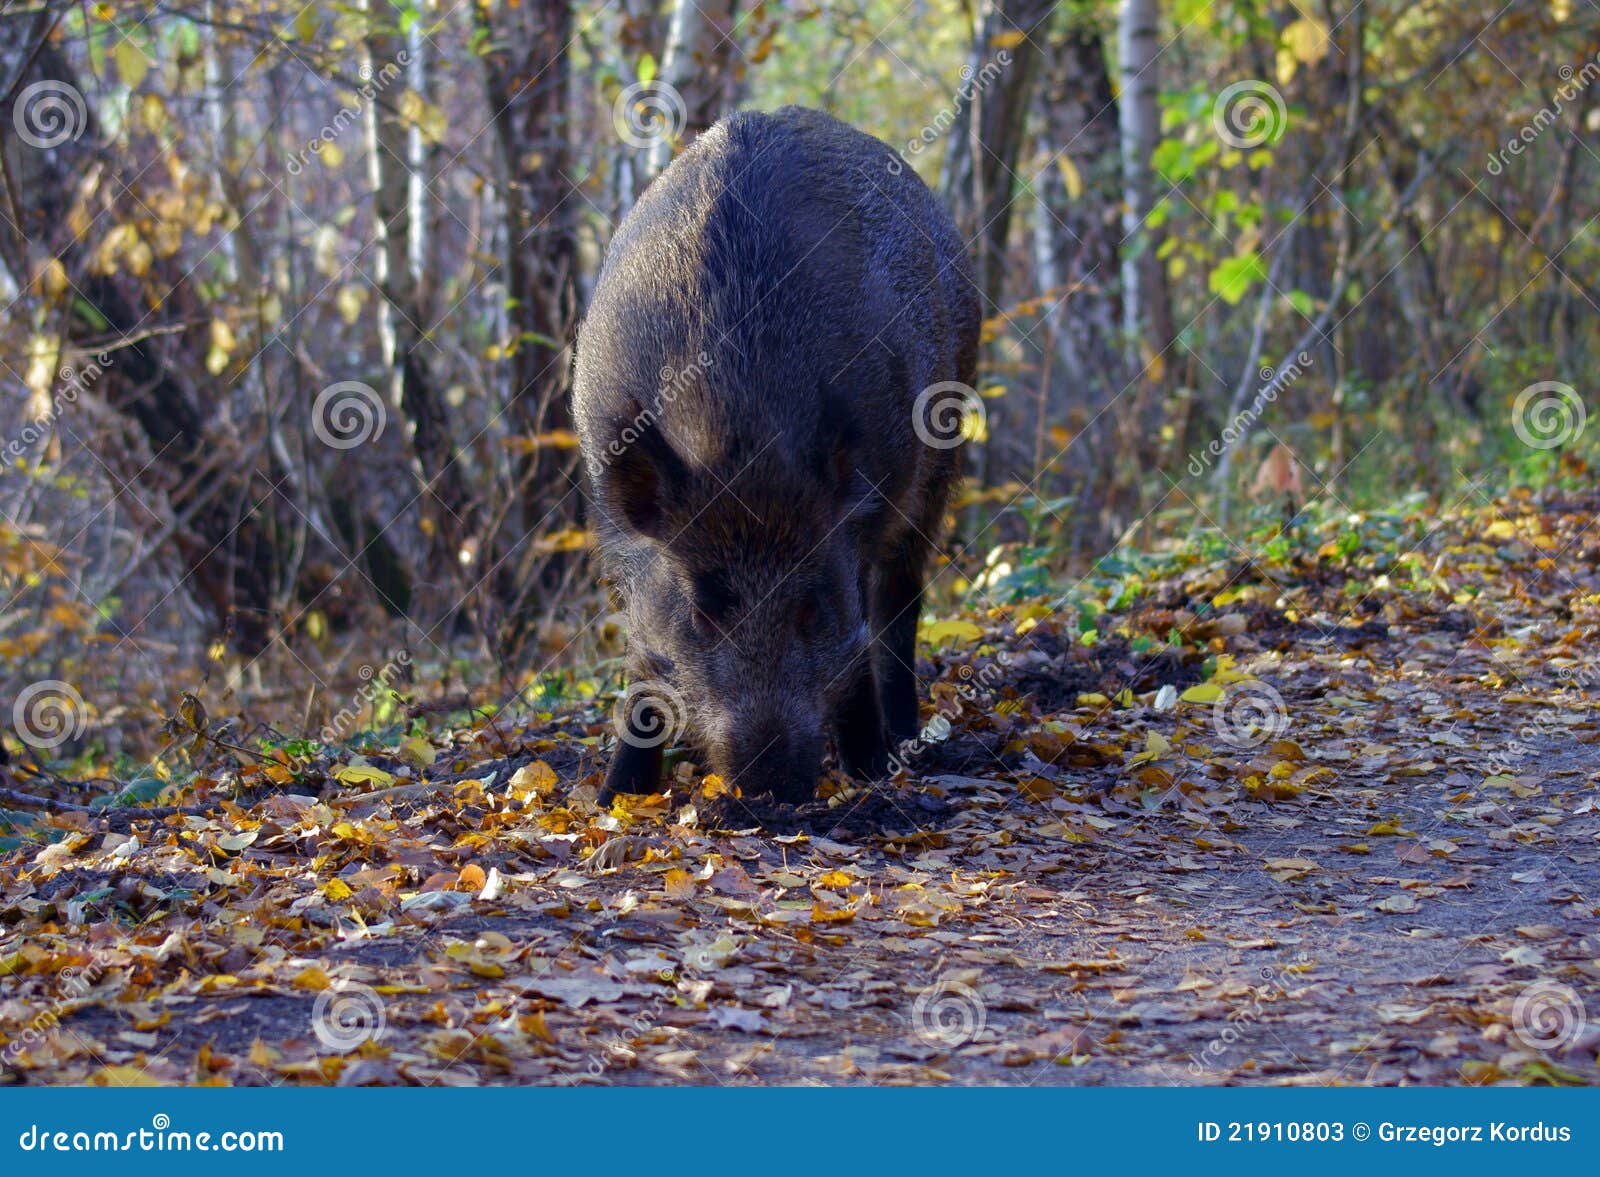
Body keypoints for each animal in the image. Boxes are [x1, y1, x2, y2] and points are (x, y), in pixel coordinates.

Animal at [573, 105, 980, 806]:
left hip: (941, 457)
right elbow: (644, 659)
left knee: (897, 604)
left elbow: (855, 639)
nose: (771, 787)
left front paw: (870, 775)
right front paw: (615, 799)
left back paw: (906, 742)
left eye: (808, 607)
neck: (738, 438)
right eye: (701, 613)